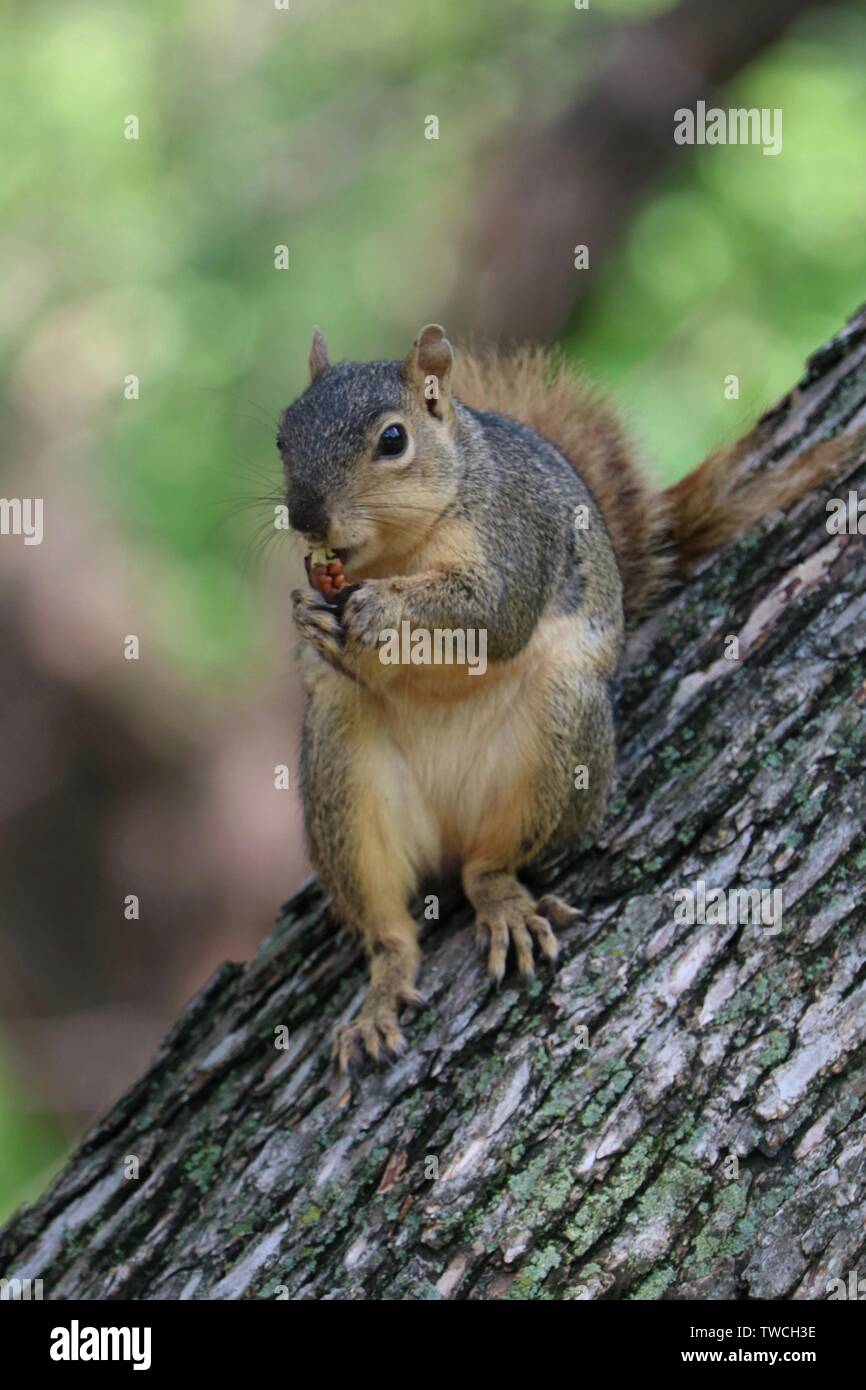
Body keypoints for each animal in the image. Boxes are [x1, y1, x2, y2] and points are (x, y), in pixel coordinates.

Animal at [278, 323, 852, 1072]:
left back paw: (504, 905)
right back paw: (382, 993)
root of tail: (453, 830)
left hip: (563, 724)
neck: (403, 546)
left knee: (491, 867)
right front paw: (310, 622)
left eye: (393, 439)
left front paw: (383, 608)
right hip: (339, 767)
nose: (306, 518)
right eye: (282, 436)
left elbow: (490, 618)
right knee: (388, 928)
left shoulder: (516, 540)